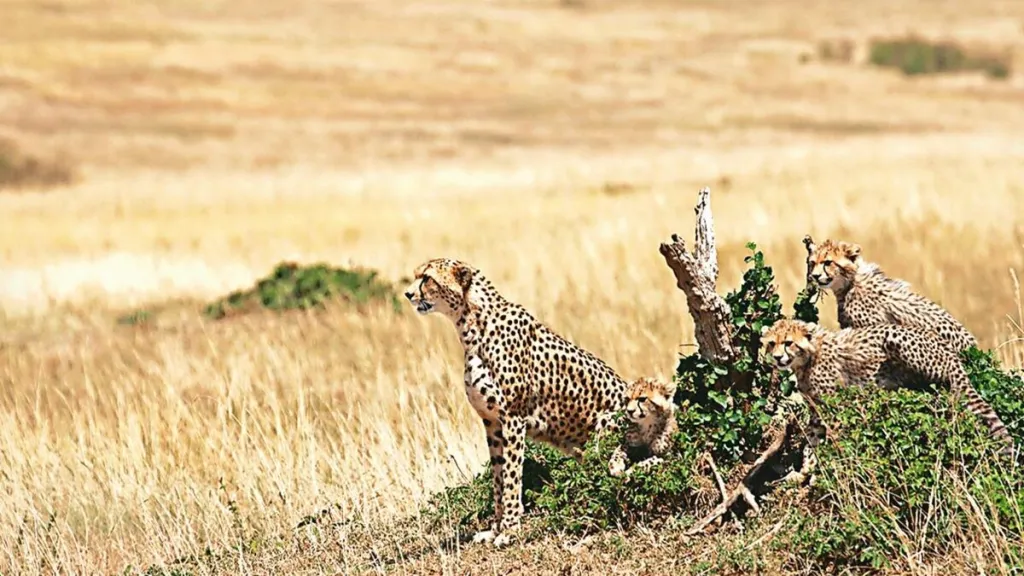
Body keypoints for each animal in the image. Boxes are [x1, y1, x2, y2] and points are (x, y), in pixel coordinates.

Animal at [404, 258, 628, 548]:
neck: (471, 326)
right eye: (416, 276)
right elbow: (498, 478)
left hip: (608, 424)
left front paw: (509, 530)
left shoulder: (513, 419)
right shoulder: (491, 422)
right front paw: (495, 528)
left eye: (427, 278)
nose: (408, 294)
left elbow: (511, 477)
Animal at [760, 318, 1015, 458]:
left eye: (788, 343)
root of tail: (951, 353)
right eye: (772, 343)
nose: (778, 357)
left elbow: (833, 436)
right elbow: (812, 439)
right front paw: (804, 470)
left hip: (895, 337)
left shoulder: (836, 405)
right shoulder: (816, 409)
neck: (808, 358)